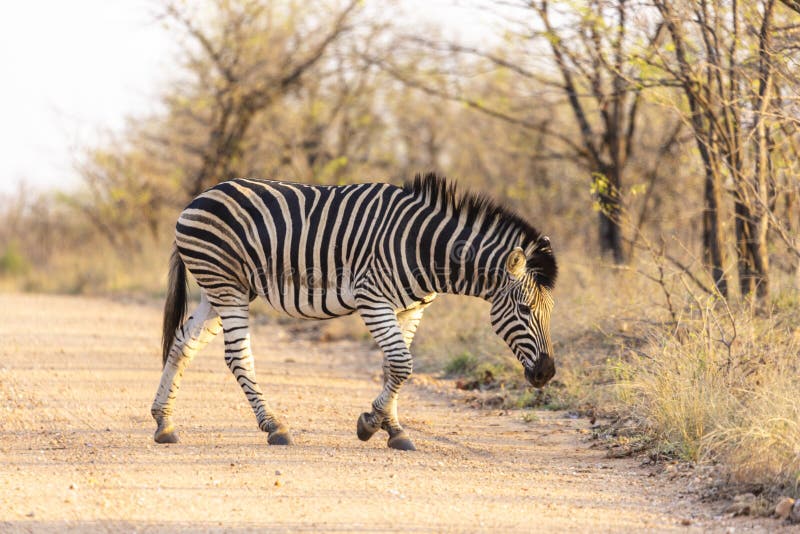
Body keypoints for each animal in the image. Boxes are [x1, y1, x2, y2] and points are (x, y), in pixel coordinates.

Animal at [151, 173, 557, 451]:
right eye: (524, 309)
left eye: (551, 311)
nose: (546, 373)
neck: (425, 248)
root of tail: (198, 199)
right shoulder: (371, 298)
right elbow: (402, 364)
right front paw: (370, 424)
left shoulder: (411, 309)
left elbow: (392, 366)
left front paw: (392, 429)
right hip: (227, 285)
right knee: (237, 356)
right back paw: (274, 425)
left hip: (217, 290)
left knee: (182, 345)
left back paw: (164, 424)